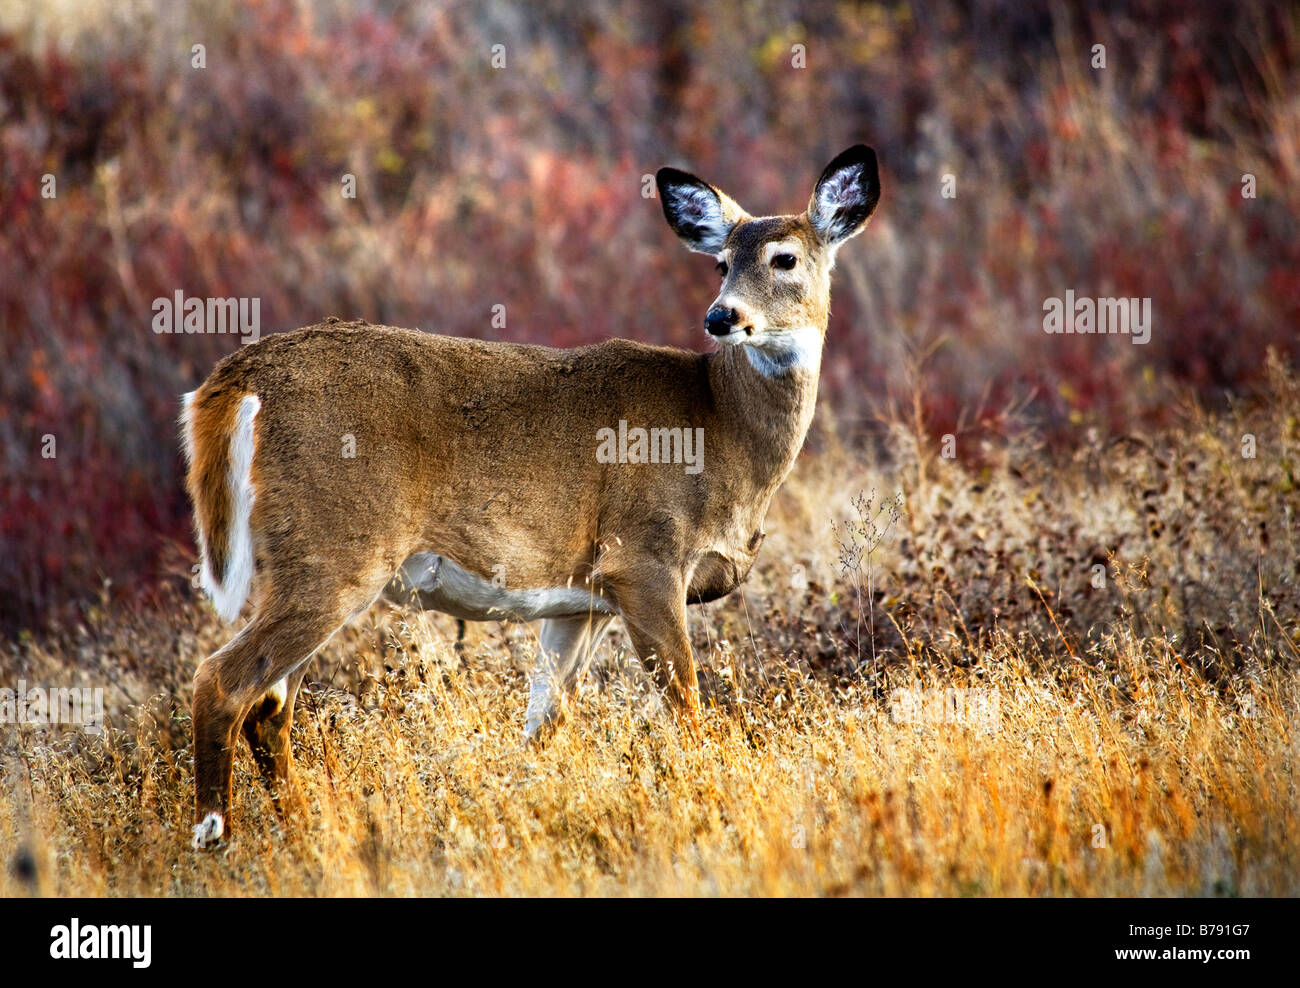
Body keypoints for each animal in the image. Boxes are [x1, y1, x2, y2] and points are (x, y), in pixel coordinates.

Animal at [181, 145, 881, 849]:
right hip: (336, 547)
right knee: (225, 682)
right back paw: (217, 835)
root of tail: (237, 381)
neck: (719, 427)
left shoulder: (582, 602)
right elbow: (685, 706)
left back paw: (308, 830)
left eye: (784, 258)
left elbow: (543, 726)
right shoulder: (643, 558)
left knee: (270, 706)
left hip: (309, 561)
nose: (721, 316)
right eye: (720, 262)